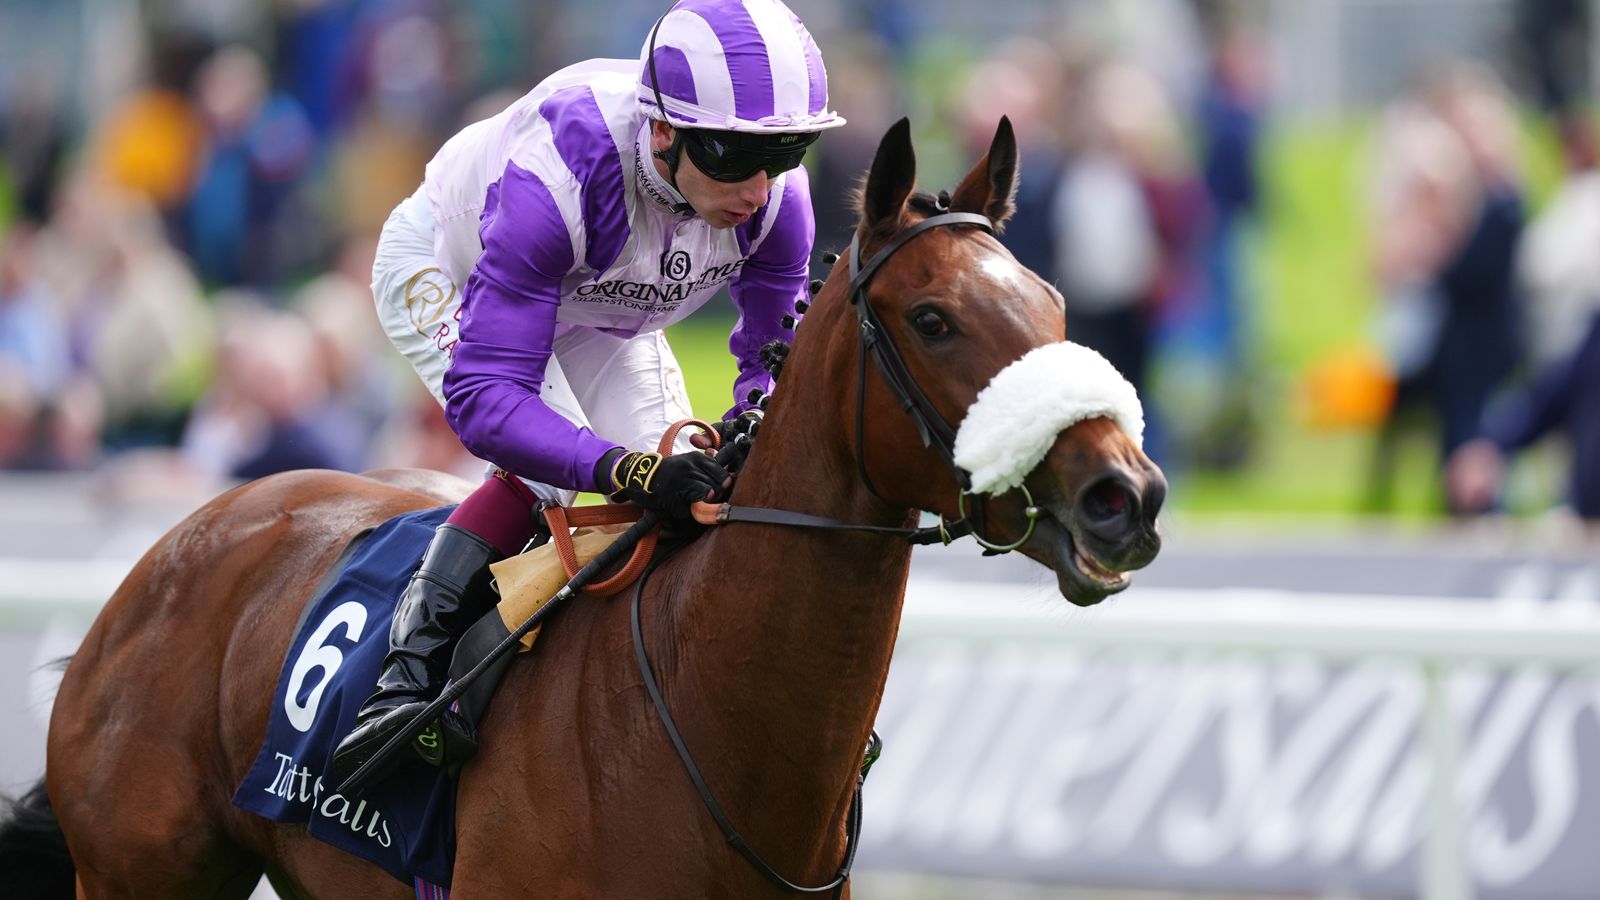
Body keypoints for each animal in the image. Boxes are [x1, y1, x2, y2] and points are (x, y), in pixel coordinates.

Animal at [11, 117, 1165, 898]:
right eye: (932, 318)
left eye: (1056, 306)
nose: (1128, 495)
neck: (704, 716)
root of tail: (173, 552)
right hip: (142, 873)